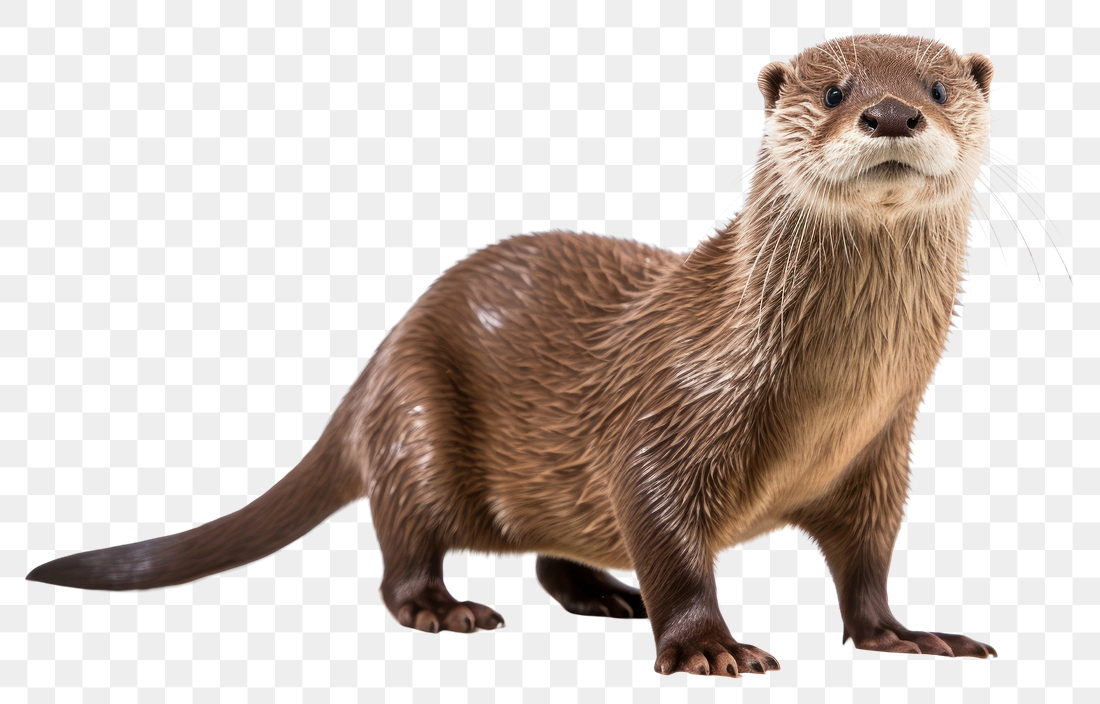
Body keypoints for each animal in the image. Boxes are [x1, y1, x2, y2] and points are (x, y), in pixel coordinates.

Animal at [27, 35, 997, 677]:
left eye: (939, 87)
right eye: (832, 92)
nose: (892, 113)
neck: (830, 400)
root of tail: (384, 351)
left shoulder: (880, 455)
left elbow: (869, 561)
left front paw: (906, 636)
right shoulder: (666, 422)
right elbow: (668, 537)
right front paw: (708, 647)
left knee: (552, 548)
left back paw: (606, 595)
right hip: (420, 415)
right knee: (401, 544)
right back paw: (443, 607)